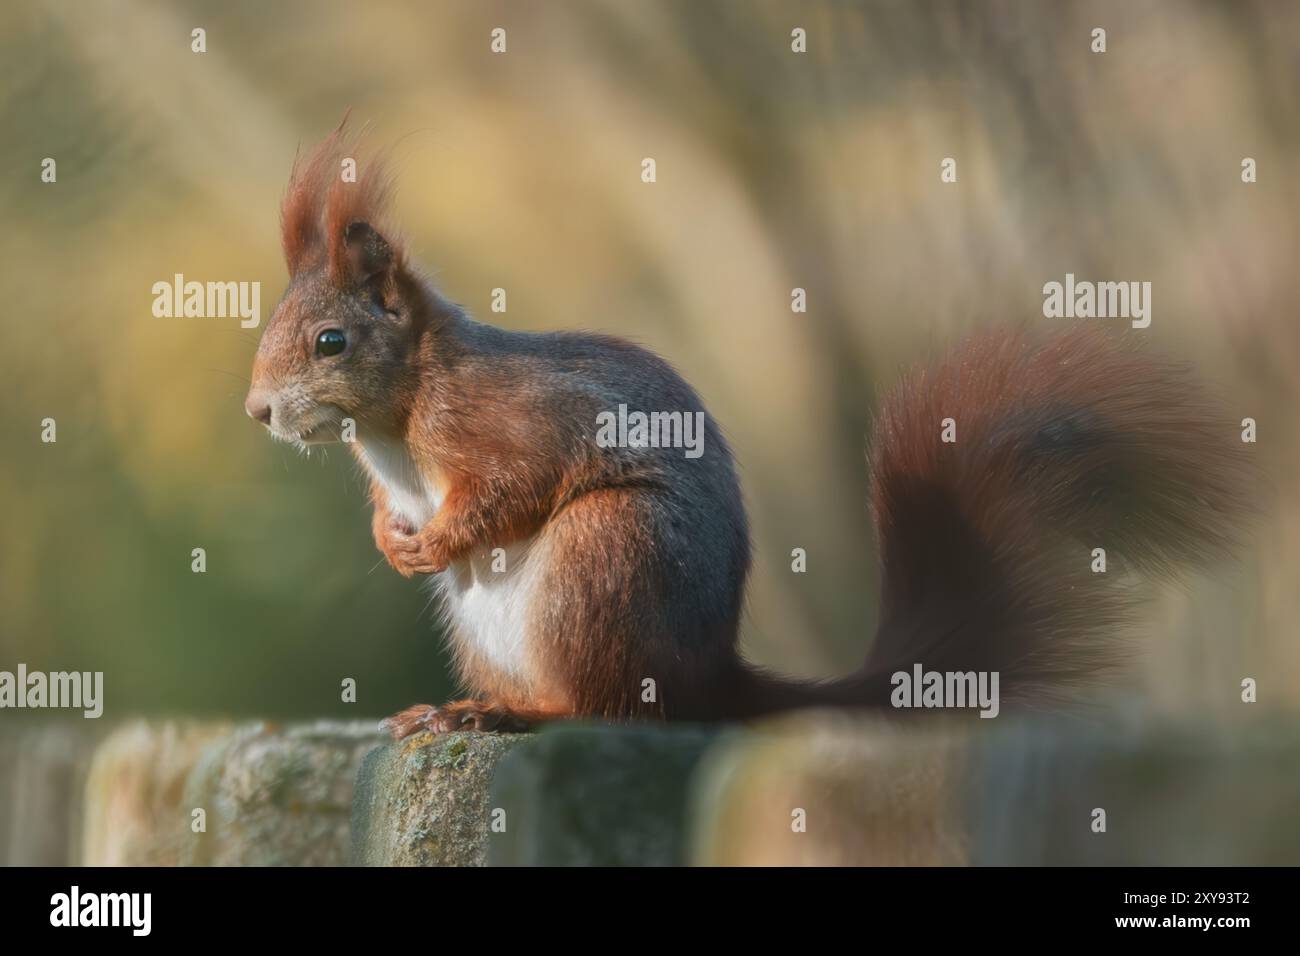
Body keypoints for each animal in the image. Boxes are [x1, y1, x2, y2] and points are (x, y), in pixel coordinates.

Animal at [246, 125, 1253, 739]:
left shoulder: (514, 419)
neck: (398, 419)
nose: (257, 411)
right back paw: (460, 708)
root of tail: (711, 676)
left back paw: (520, 717)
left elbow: (520, 481)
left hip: (605, 556)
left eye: (331, 341)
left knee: (614, 710)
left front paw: (443, 533)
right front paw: (392, 539)